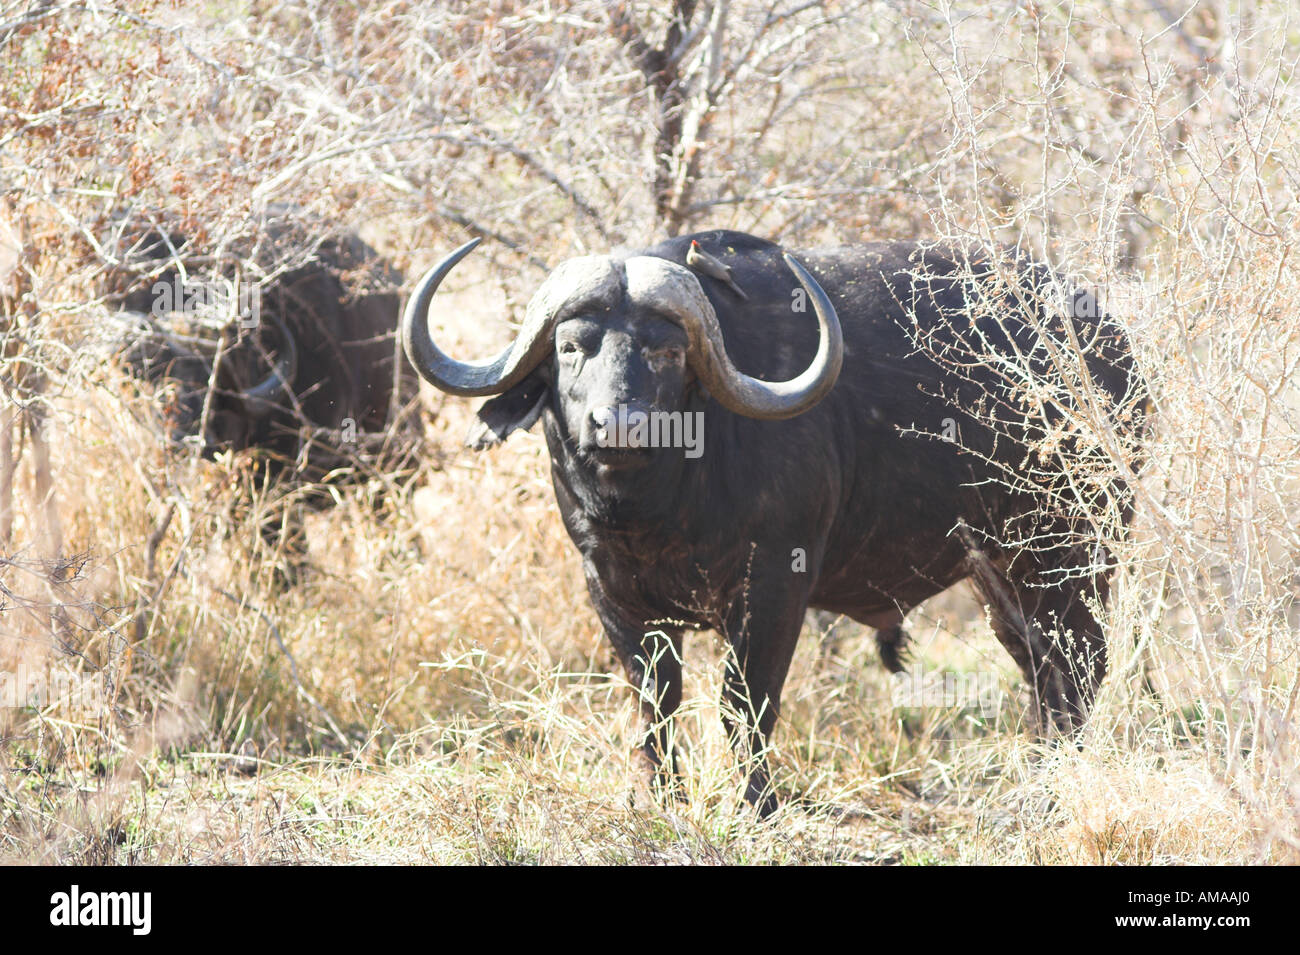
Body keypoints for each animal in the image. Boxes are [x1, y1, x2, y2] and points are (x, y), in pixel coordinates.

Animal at [402, 229, 1144, 815]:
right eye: (571, 346)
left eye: (667, 350)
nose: (618, 424)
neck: (659, 507)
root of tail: (1113, 349)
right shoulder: (611, 591)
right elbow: (653, 701)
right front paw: (654, 797)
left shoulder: (776, 586)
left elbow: (747, 700)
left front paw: (755, 804)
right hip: (999, 576)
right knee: (1041, 668)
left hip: (1071, 557)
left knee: (1078, 667)